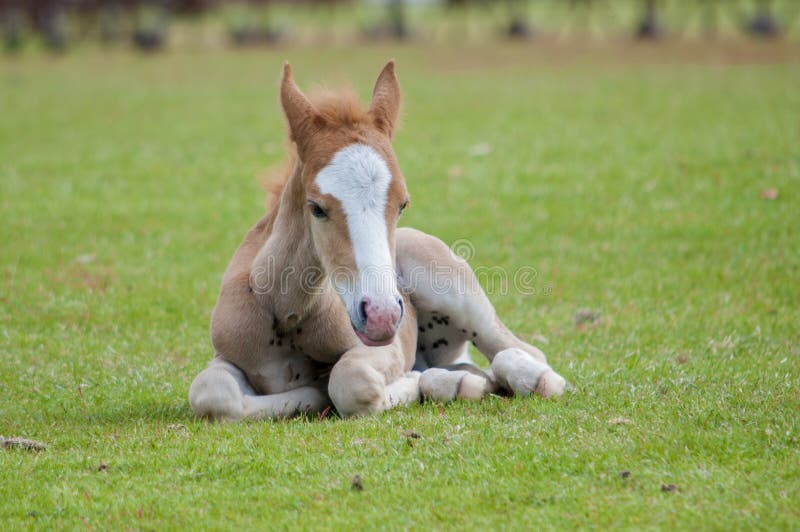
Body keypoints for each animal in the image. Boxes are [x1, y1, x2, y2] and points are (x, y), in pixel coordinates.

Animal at [188, 61, 566, 420]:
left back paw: (530, 380)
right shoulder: (226, 354)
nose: (382, 316)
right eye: (316, 208)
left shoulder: (382, 348)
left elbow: (352, 381)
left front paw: (404, 382)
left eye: (402, 203)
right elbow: (211, 391)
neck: (286, 313)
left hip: (452, 287)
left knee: (518, 350)